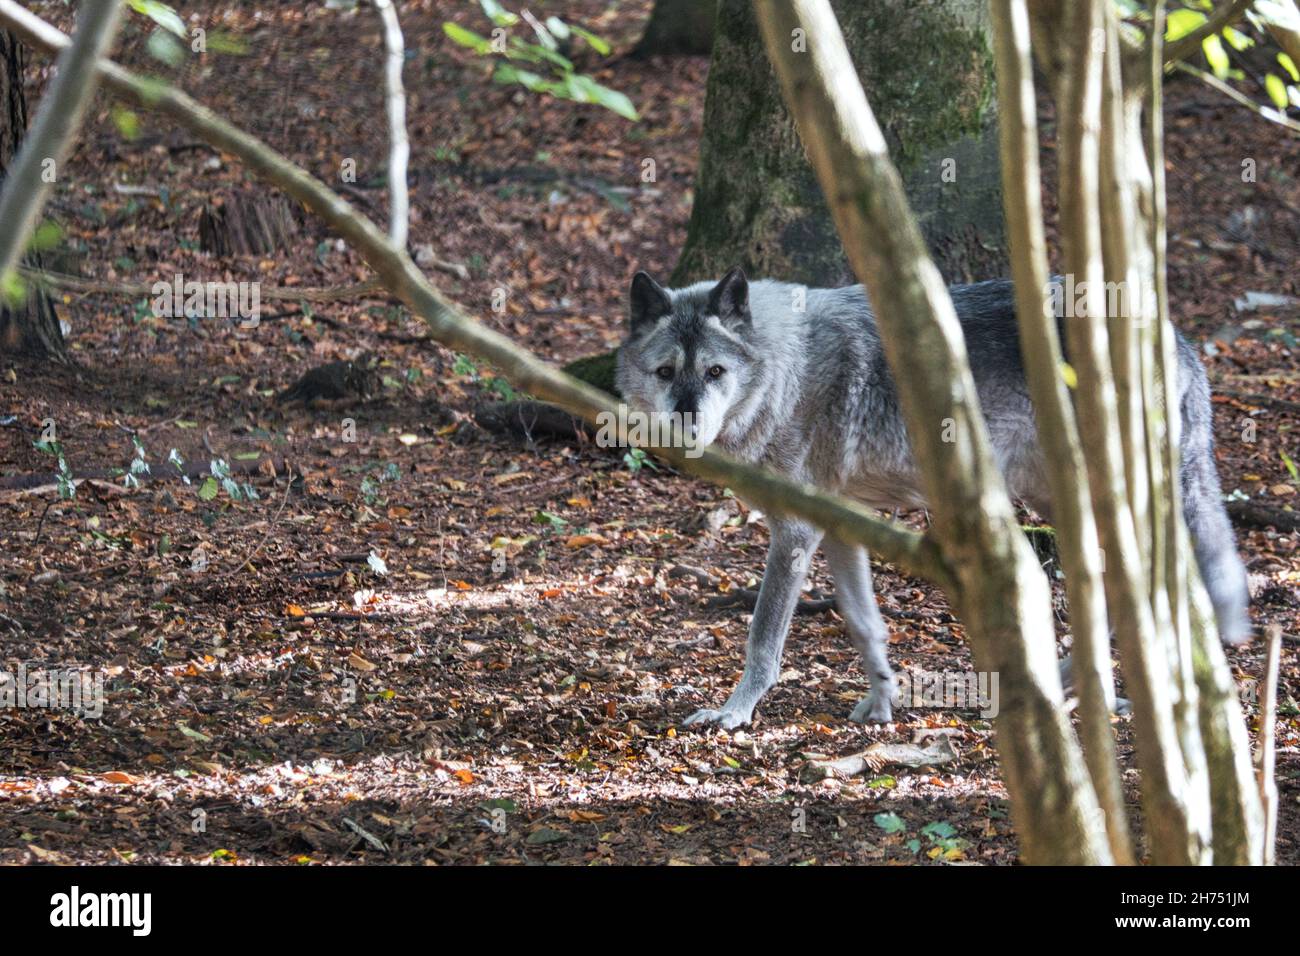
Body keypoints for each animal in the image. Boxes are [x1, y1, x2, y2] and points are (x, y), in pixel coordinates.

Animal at [615, 267, 1251, 729]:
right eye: (667, 372)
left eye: (716, 372)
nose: (686, 425)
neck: (788, 370)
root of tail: (1177, 338)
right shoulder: (842, 523)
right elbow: (865, 626)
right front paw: (882, 706)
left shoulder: (796, 532)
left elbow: (763, 640)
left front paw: (734, 713)